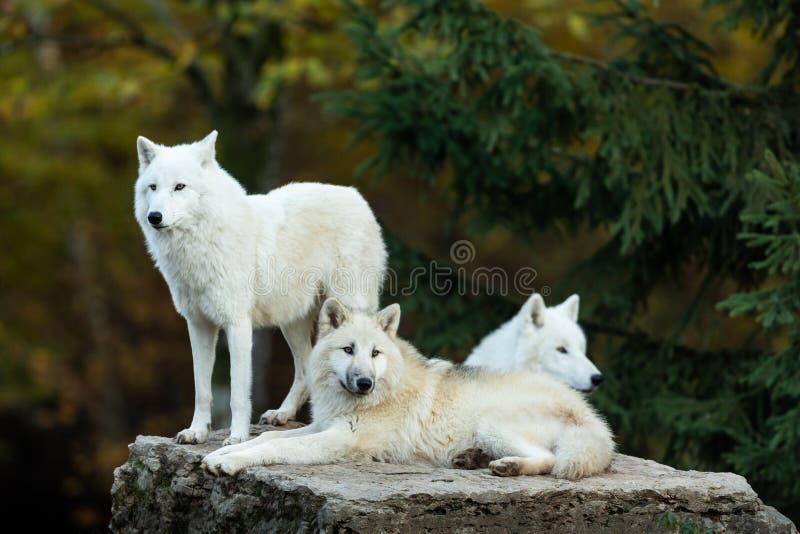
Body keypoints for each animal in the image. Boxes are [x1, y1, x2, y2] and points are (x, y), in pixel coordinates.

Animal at [134, 132, 386, 445]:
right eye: (153, 187)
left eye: (179, 186)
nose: (154, 217)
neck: (200, 243)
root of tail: (355, 195)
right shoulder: (198, 324)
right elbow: (201, 389)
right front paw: (196, 432)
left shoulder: (237, 325)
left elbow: (238, 393)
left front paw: (237, 437)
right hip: (292, 322)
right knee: (305, 369)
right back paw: (282, 414)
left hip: (346, 308)